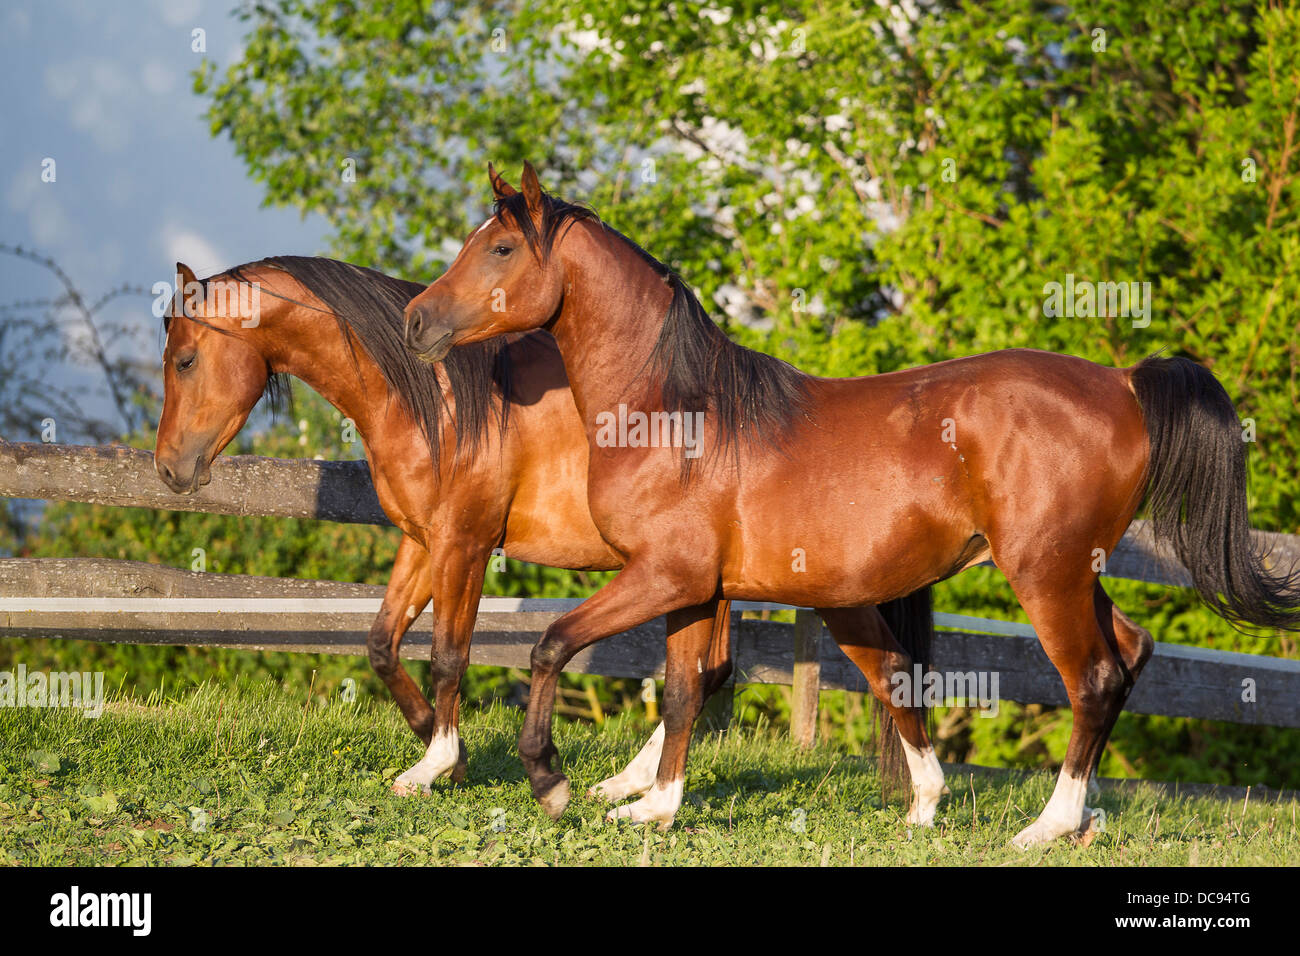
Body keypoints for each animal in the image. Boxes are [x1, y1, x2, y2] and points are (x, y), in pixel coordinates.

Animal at [153, 255, 932, 815]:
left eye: (184, 360)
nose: (169, 468)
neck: (439, 398)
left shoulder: (464, 542)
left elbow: (449, 655)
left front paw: (442, 760)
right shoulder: (422, 540)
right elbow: (380, 644)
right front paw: (436, 745)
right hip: (710, 581)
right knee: (710, 673)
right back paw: (627, 785)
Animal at [402, 162, 1300, 846]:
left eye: (502, 247)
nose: (415, 321)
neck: (676, 410)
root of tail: (1123, 382)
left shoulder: (663, 578)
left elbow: (552, 646)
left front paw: (551, 780)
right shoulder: (692, 588)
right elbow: (687, 688)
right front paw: (655, 807)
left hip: (1044, 574)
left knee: (1093, 679)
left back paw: (1047, 826)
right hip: (1077, 570)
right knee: (1130, 652)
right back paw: (1066, 819)